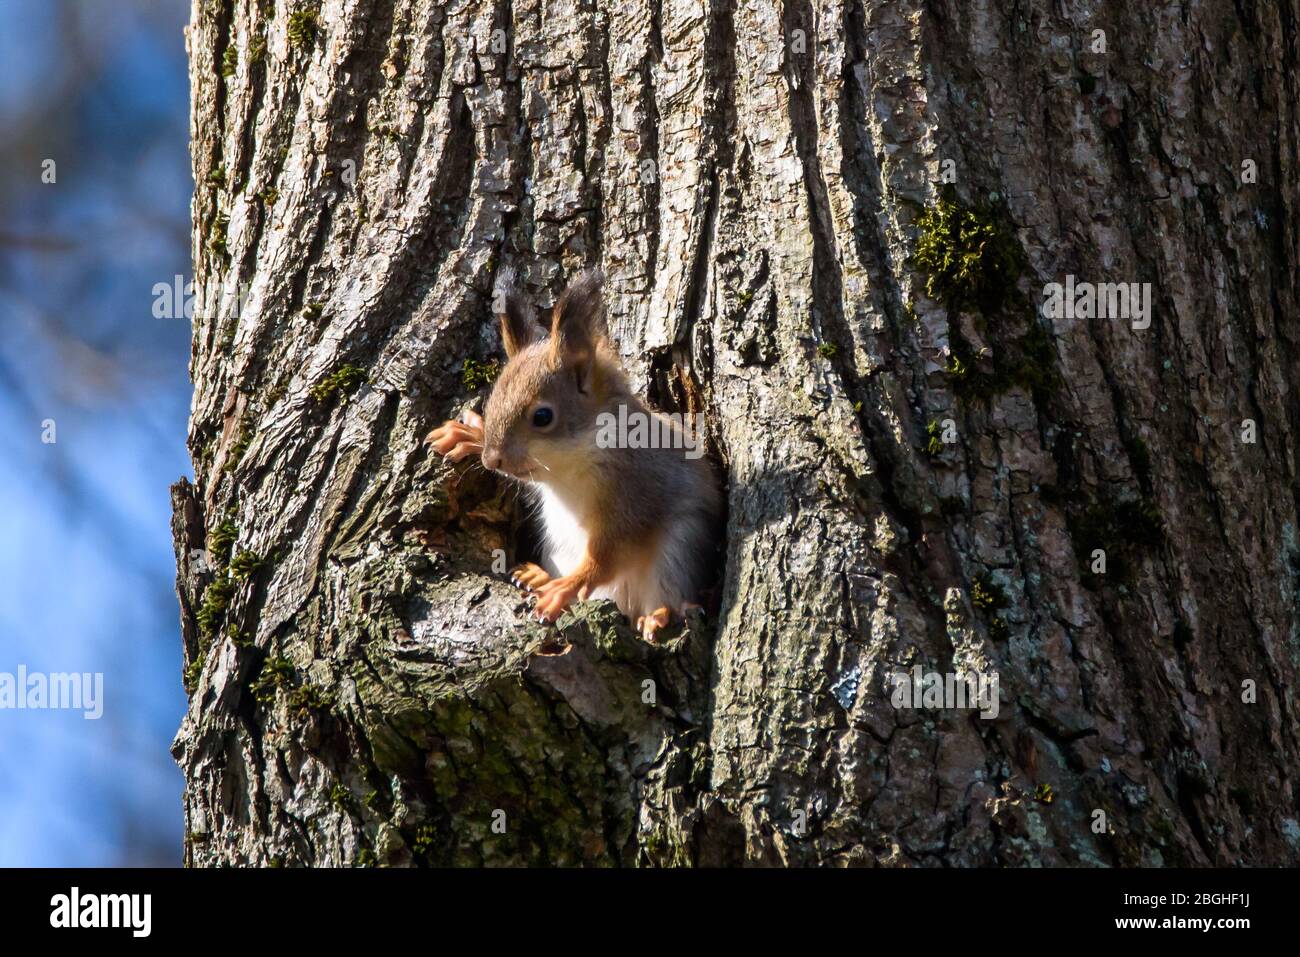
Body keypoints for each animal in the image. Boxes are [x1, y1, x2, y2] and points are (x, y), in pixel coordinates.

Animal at [427, 269, 721, 641]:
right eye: (491, 403)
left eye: (542, 417)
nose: (492, 461)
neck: (571, 464)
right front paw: (470, 434)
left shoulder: (636, 493)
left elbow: (610, 555)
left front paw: (567, 587)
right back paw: (539, 576)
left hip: (678, 554)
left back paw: (659, 615)